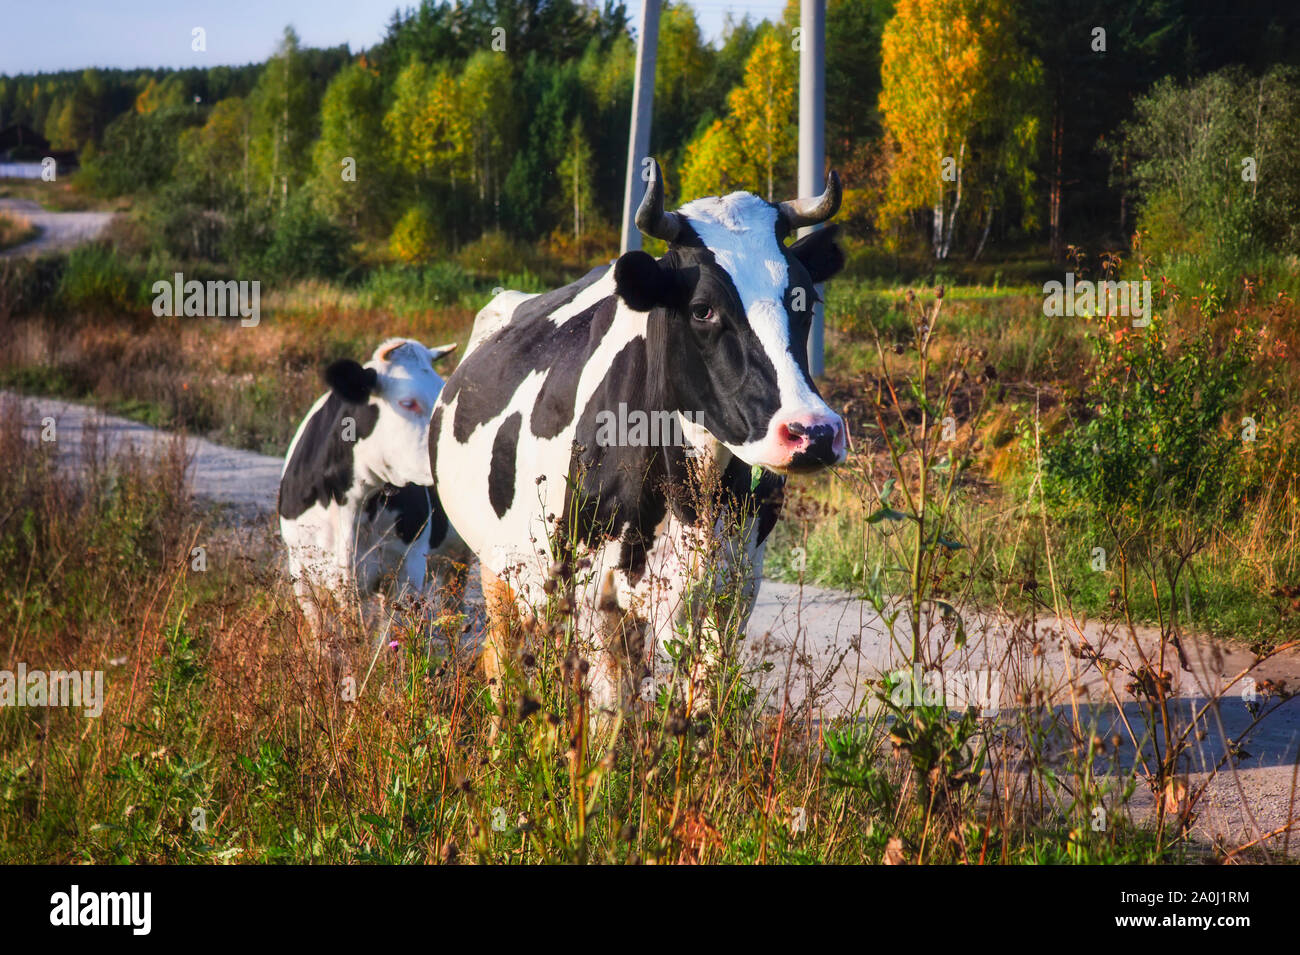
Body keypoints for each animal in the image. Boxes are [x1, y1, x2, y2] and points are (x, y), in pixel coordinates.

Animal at [429, 160, 846, 727]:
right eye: (702, 309)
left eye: (807, 300)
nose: (814, 432)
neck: (688, 494)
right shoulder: (591, 594)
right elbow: (610, 716)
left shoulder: (735, 589)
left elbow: (703, 709)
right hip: (497, 566)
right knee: (502, 659)